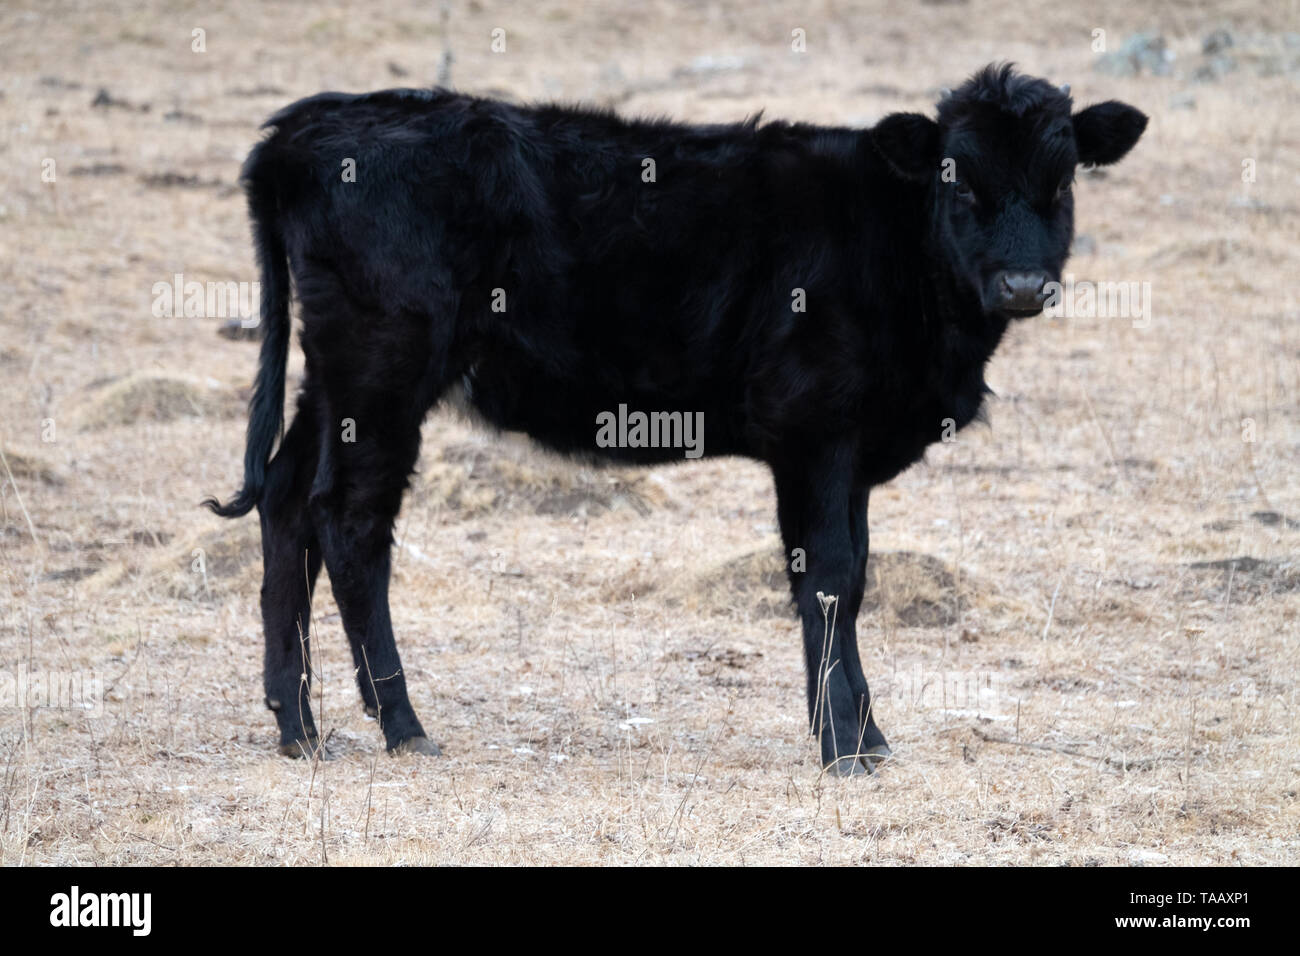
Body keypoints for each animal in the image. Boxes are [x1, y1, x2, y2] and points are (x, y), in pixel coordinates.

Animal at [206, 64, 1146, 775]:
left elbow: (856, 578)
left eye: (1062, 180)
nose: (1021, 284)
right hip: (382, 371)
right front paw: (844, 747)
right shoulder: (812, 431)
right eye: (960, 178)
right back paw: (402, 725)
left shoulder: (848, 450)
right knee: (351, 522)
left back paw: (297, 725)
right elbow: (829, 577)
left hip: (333, 381)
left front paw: (869, 736)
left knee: (287, 501)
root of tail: (306, 124)